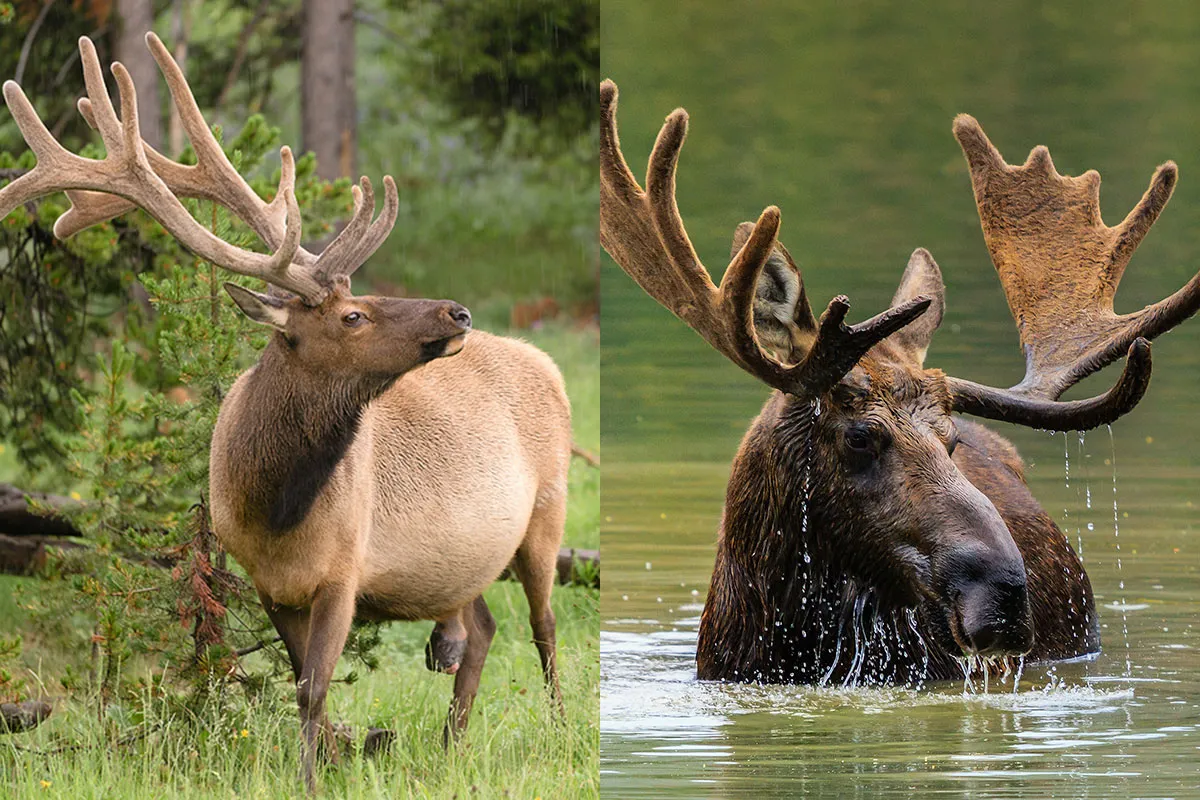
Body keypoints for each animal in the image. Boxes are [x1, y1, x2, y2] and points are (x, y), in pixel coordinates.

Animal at [0, 35, 572, 790]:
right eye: (353, 314)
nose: (458, 312)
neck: (275, 509)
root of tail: (551, 364)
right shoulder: (268, 583)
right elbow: (304, 679)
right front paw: (327, 761)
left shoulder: (345, 569)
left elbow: (314, 684)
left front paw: (312, 775)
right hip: (470, 559)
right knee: (481, 630)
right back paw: (450, 746)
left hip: (550, 513)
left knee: (545, 627)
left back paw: (562, 730)